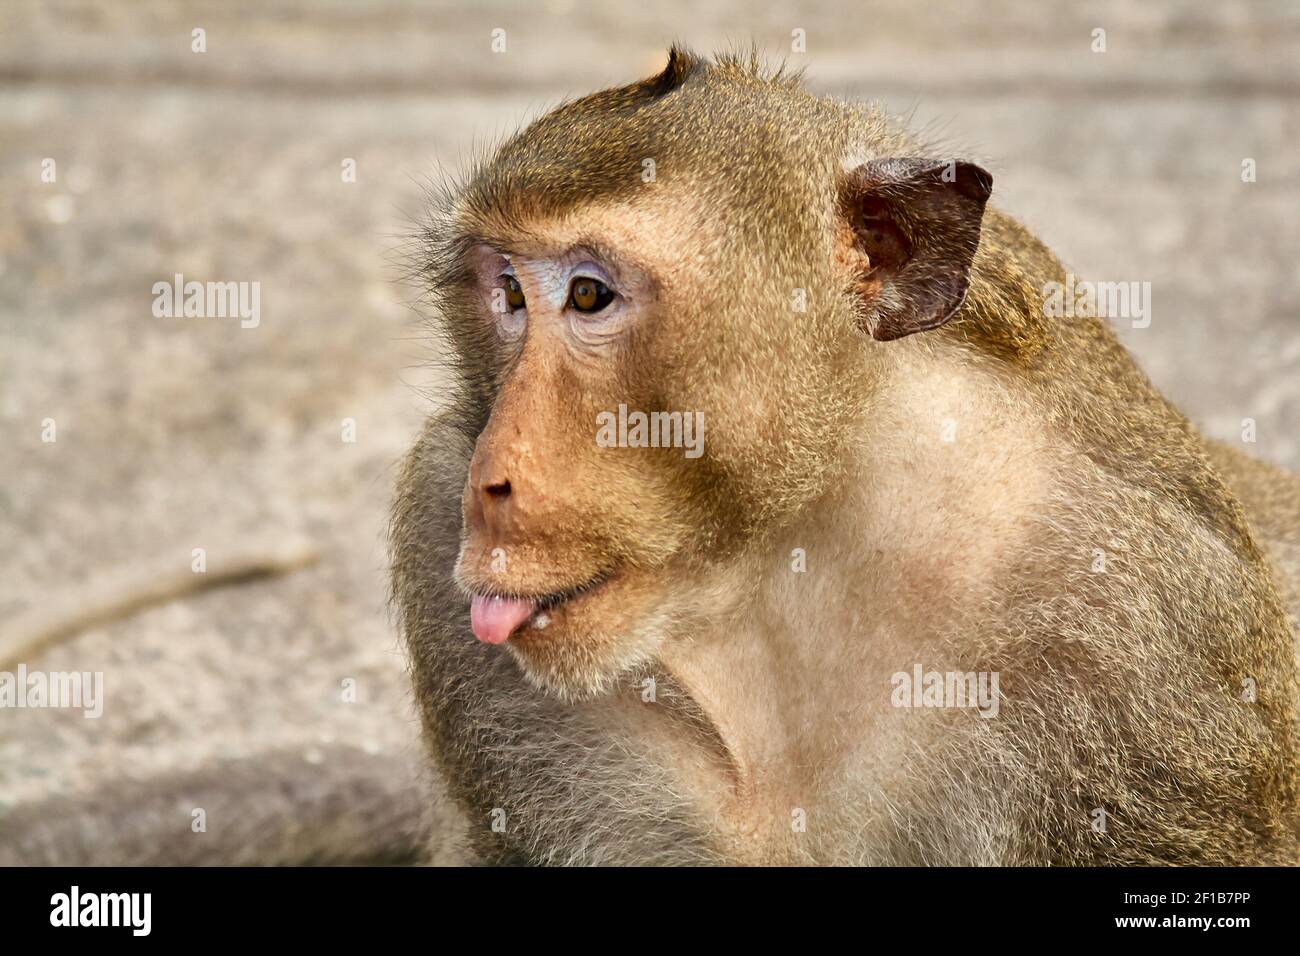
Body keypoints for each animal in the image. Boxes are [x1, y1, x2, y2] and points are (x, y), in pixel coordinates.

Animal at [389, 46, 1300, 866]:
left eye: (588, 294)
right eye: (509, 292)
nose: (490, 480)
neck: (795, 547)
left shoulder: (1134, 632)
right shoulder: (439, 533)